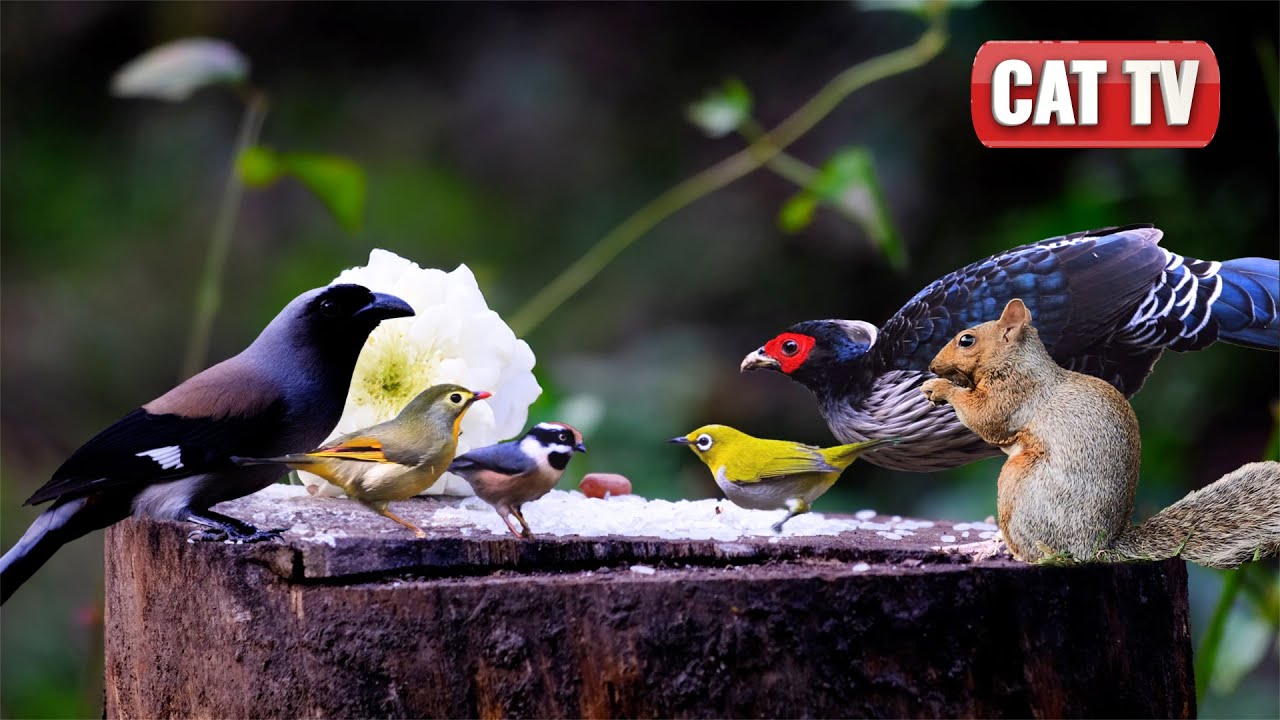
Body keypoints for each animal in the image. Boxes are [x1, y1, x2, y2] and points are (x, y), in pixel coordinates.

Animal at [919, 298, 1280, 568]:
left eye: (967, 340)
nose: (932, 365)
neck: (1021, 361)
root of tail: (1097, 547)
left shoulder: (1013, 394)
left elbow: (985, 417)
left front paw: (940, 388)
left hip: (1018, 482)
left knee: (1040, 553)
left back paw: (990, 550)